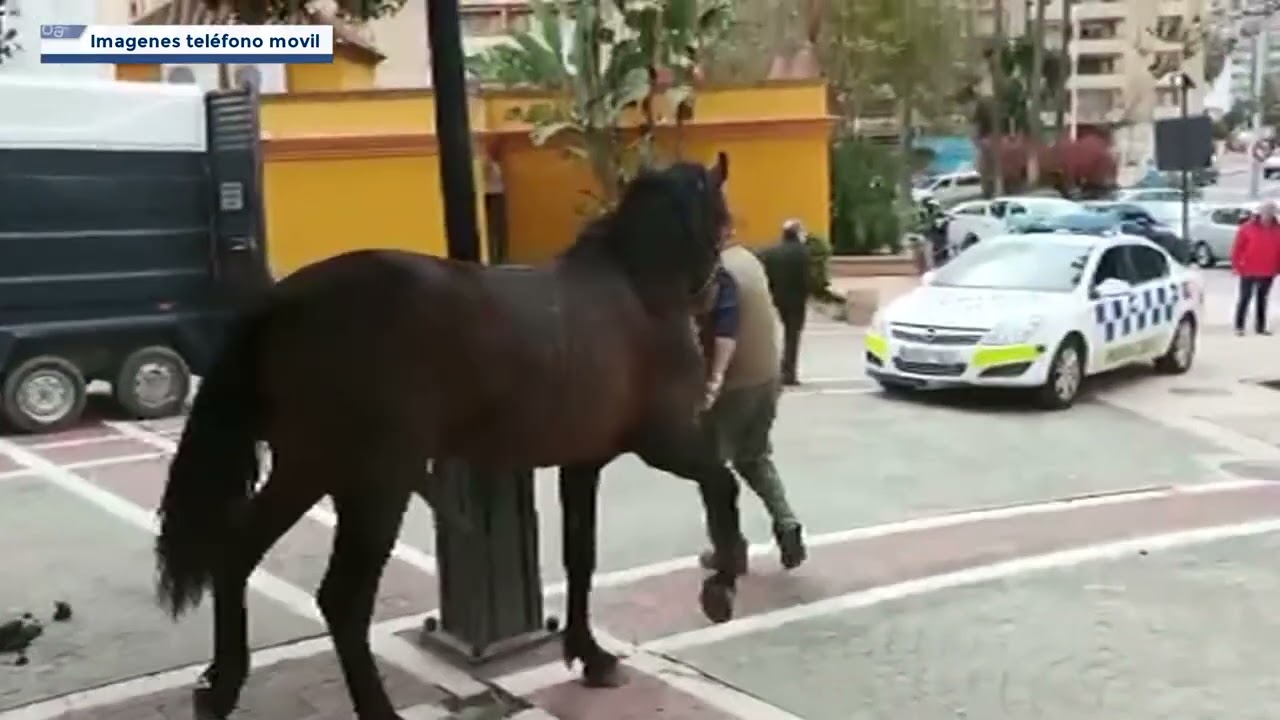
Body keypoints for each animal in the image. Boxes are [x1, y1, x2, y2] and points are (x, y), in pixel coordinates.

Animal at [153, 154, 748, 720]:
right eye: (724, 221)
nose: (713, 295)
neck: (636, 290)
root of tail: (283, 303)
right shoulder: (663, 440)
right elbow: (721, 482)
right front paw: (723, 579)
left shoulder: (583, 461)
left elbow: (581, 556)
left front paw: (590, 654)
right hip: (374, 487)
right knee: (342, 599)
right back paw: (376, 709)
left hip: (307, 469)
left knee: (237, 553)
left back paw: (221, 687)